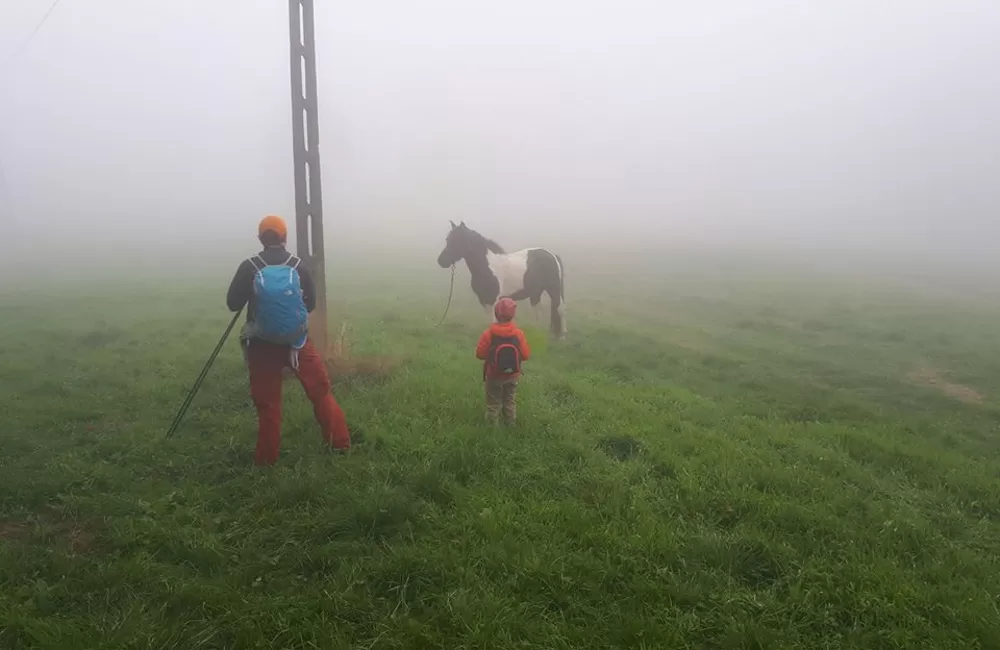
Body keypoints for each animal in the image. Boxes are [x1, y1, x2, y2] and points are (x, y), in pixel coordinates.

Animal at [436, 220, 568, 336]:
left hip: (554, 289)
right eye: (447, 239)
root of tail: (552, 255)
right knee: (538, 311)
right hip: (536, 292)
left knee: (560, 309)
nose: (441, 261)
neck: (488, 266)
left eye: (459, 240)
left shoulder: (494, 300)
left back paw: (562, 336)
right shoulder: (484, 300)